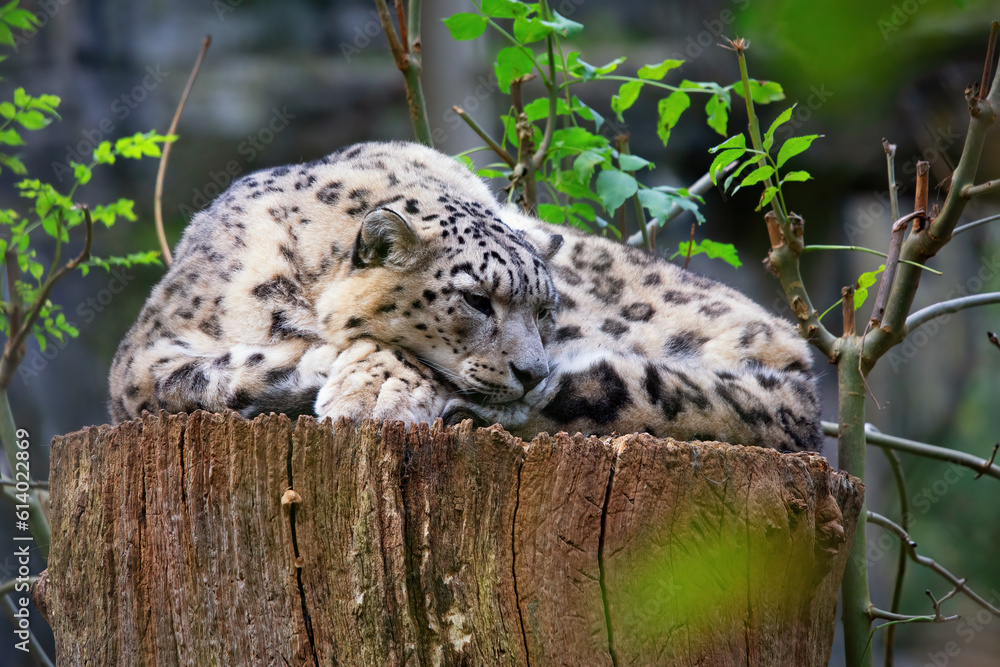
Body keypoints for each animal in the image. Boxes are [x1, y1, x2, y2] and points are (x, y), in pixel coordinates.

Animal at [108, 141, 821, 452]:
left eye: (543, 311)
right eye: (478, 300)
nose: (533, 371)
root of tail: (797, 353)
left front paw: (377, 389)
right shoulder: (142, 362)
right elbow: (218, 376)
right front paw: (347, 376)